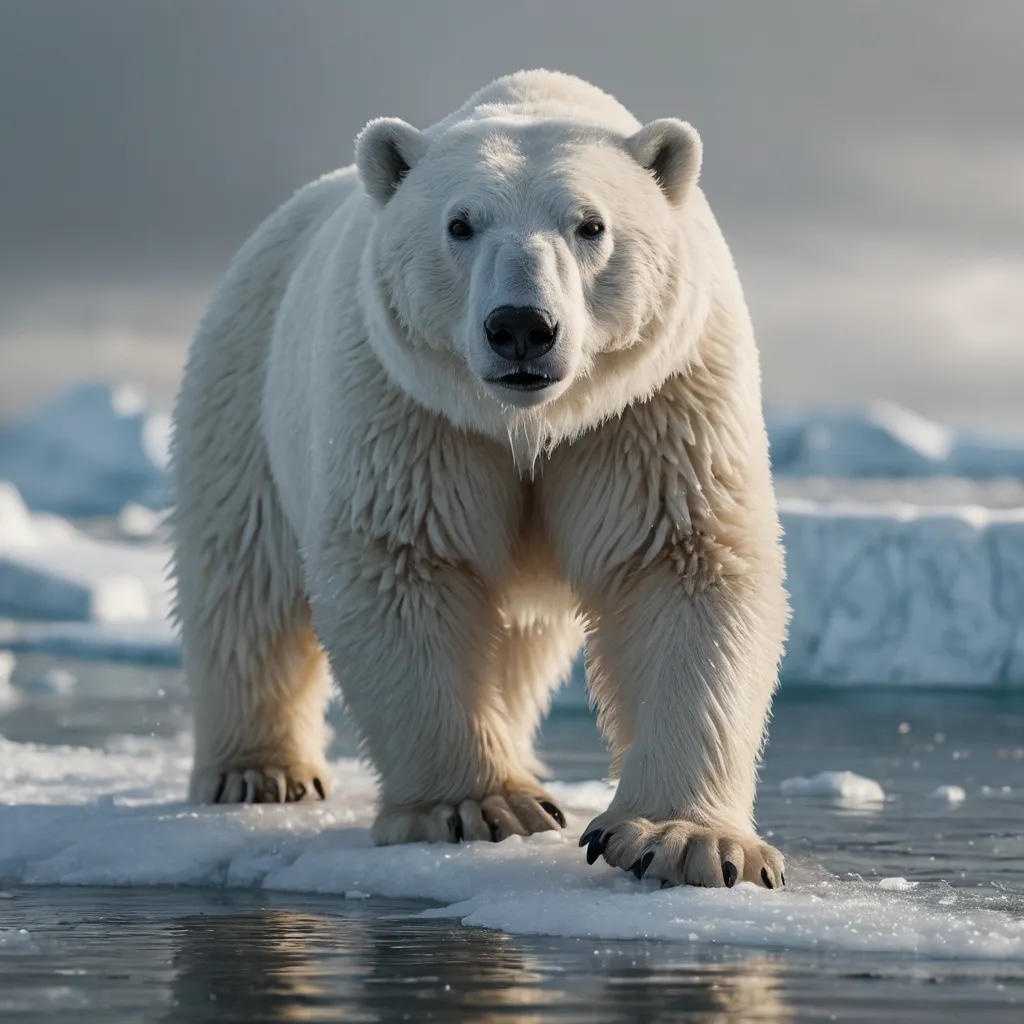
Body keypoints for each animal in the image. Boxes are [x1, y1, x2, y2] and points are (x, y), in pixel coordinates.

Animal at [170, 69, 789, 889]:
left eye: (590, 225)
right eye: (460, 224)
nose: (521, 326)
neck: (529, 422)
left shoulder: (652, 405)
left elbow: (683, 564)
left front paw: (686, 841)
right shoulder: (414, 409)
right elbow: (407, 565)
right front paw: (480, 808)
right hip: (244, 386)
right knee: (245, 583)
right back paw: (260, 771)